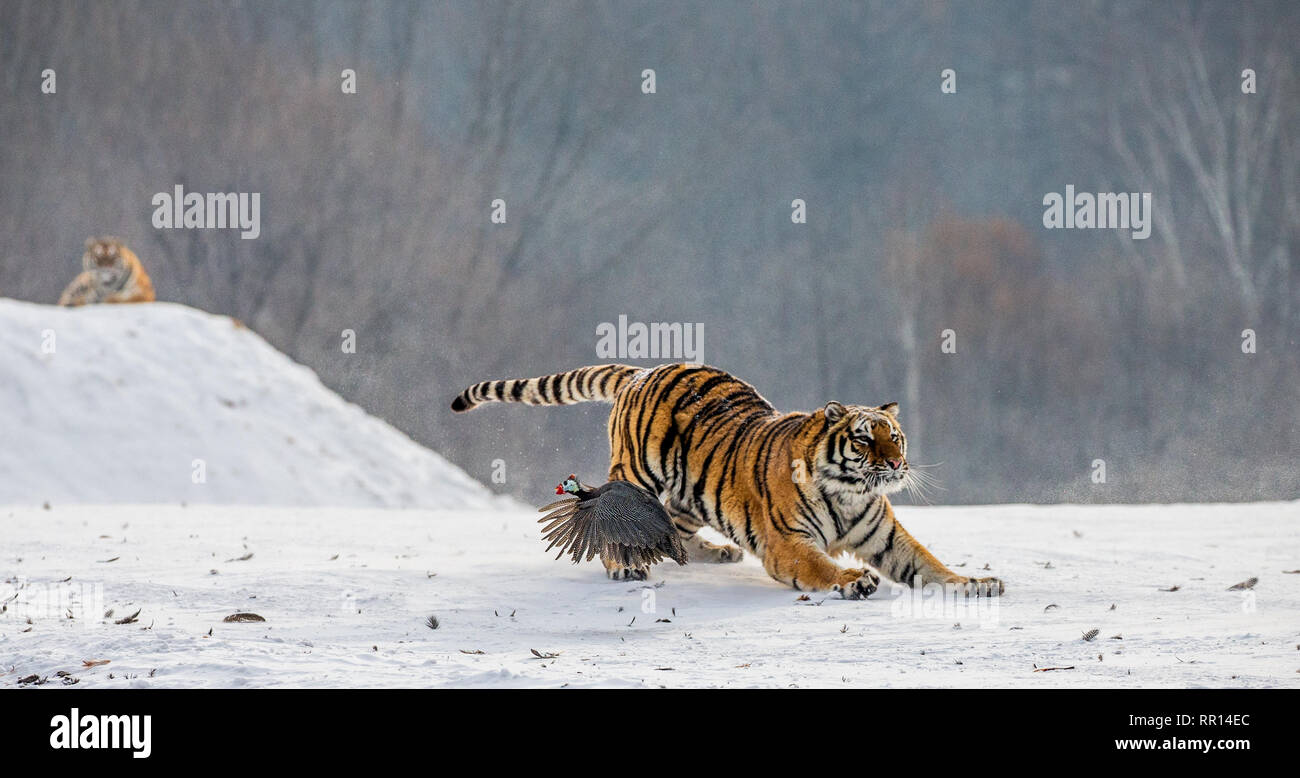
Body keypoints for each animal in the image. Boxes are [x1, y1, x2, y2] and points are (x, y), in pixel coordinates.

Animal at [452, 363, 1003, 599]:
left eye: (897, 437)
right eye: (867, 440)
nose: (895, 465)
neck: (851, 493)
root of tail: (644, 370)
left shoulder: (886, 535)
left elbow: (927, 563)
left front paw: (975, 583)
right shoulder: (788, 543)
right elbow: (821, 566)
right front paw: (853, 580)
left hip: (691, 496)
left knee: (673, 530)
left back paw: (719, 553)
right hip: (636, 473)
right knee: (616, 520)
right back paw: (625, 567)